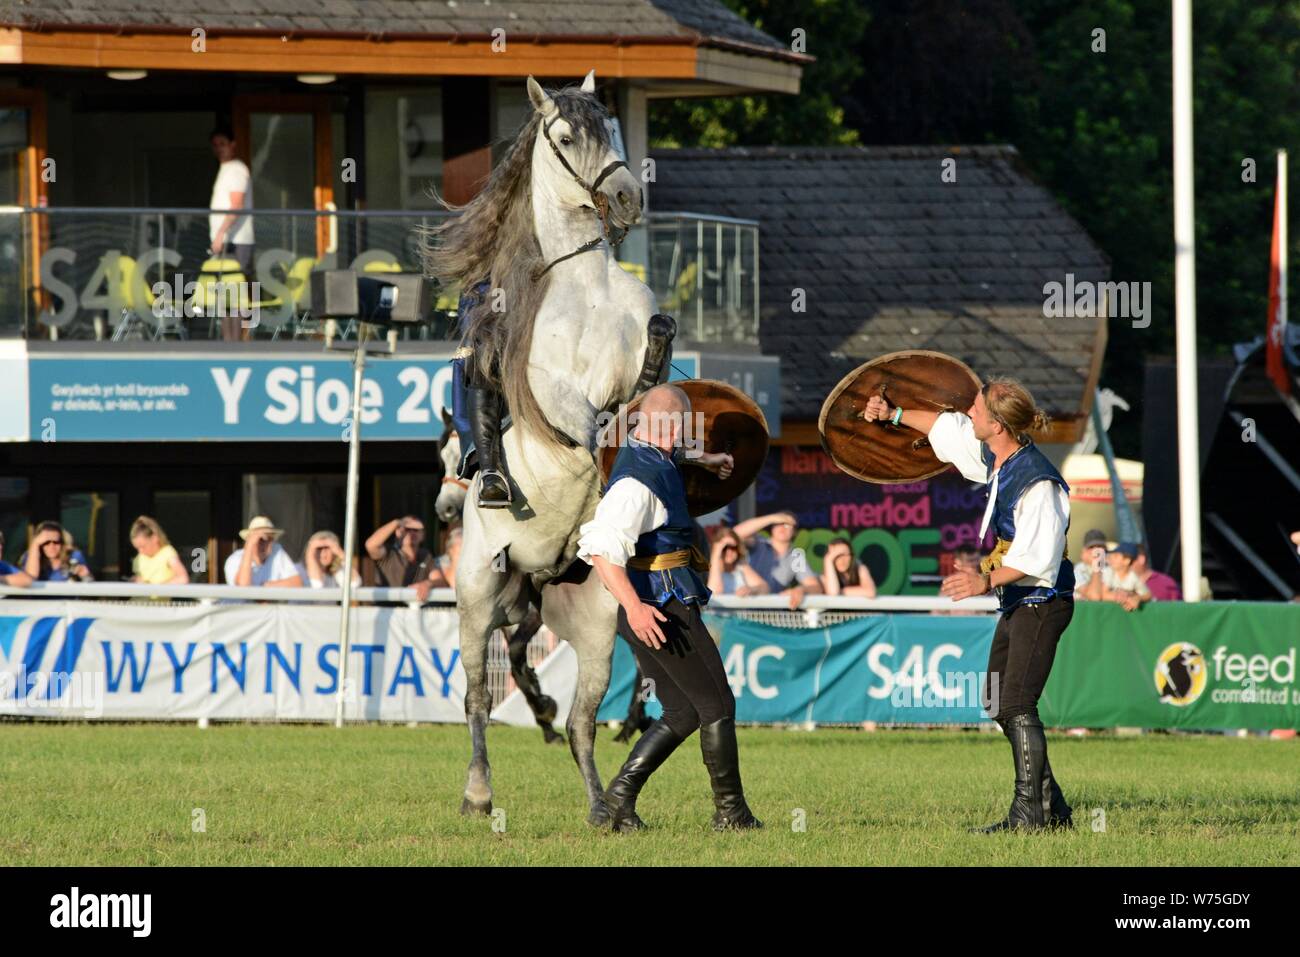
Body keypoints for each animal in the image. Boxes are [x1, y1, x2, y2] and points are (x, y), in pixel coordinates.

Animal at [422, 70, 658, 824]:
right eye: (562, 136)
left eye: (610, 128)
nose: (626, 199)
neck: (588, 285)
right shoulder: (556, 394)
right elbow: (590, 423)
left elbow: (648, 380)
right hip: (478, 598)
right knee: (475, 696)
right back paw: (478, 793)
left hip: (594, 622)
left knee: (584, 717)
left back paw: (605, 806)